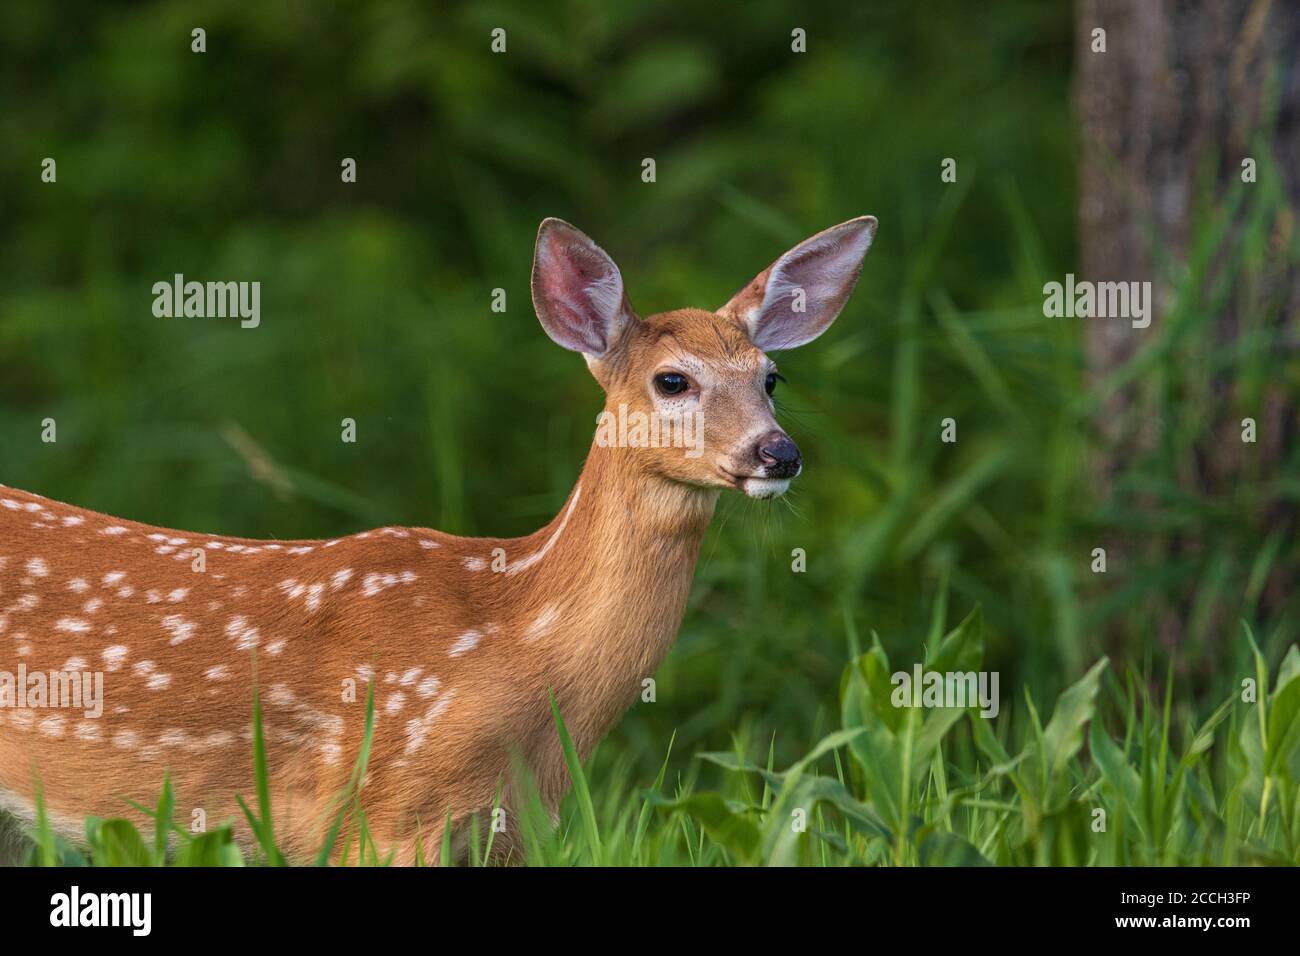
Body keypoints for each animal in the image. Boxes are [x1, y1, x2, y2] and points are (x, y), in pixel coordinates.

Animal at [0, 215, 877, 864]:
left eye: (772, 377)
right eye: (672, 380)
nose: (778, 453)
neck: (519, 640)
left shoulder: (514, 826)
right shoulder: (387, 810)